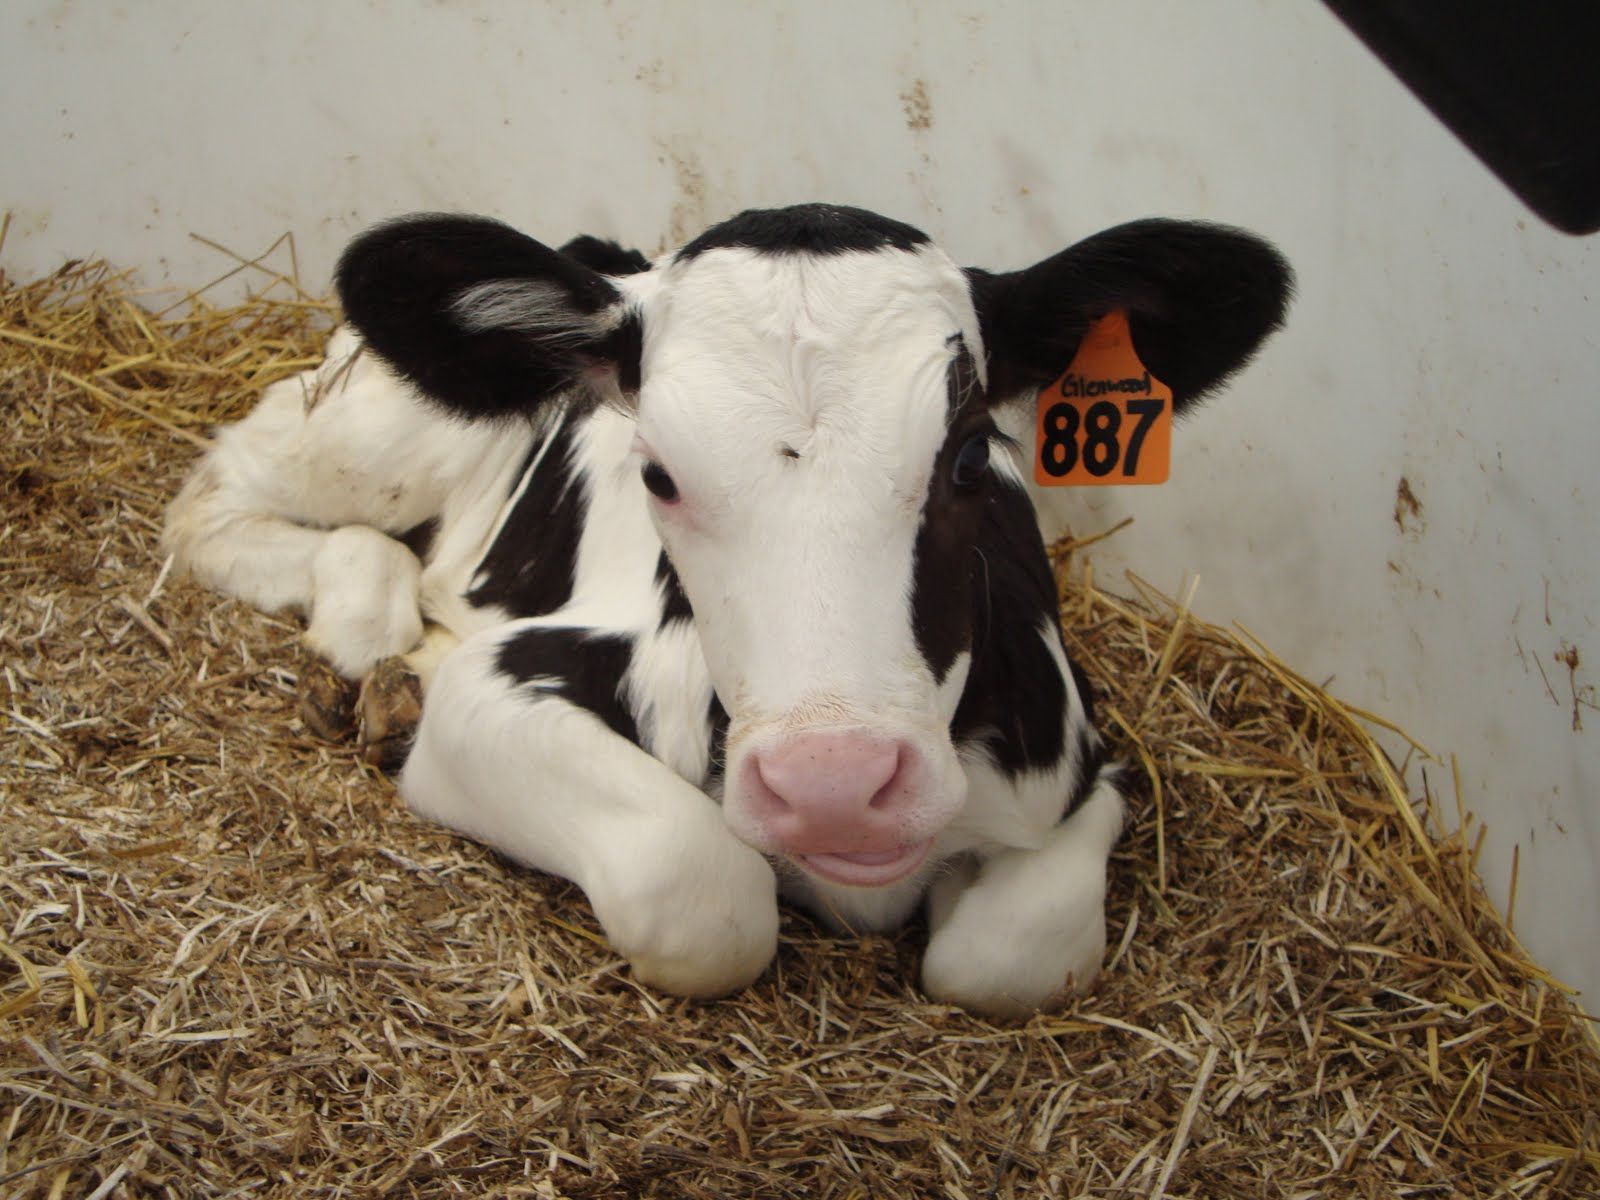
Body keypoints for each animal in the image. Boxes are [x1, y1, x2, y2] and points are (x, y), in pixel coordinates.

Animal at [163, 205, 1290, 1017]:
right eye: (657, 471)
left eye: (972, 454)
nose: (834, 786)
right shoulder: (505, 694)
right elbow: (698, 890)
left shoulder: (1076, 756)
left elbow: (1011, 957)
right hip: (377, 432)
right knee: (220, 494)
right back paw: (370, 624)